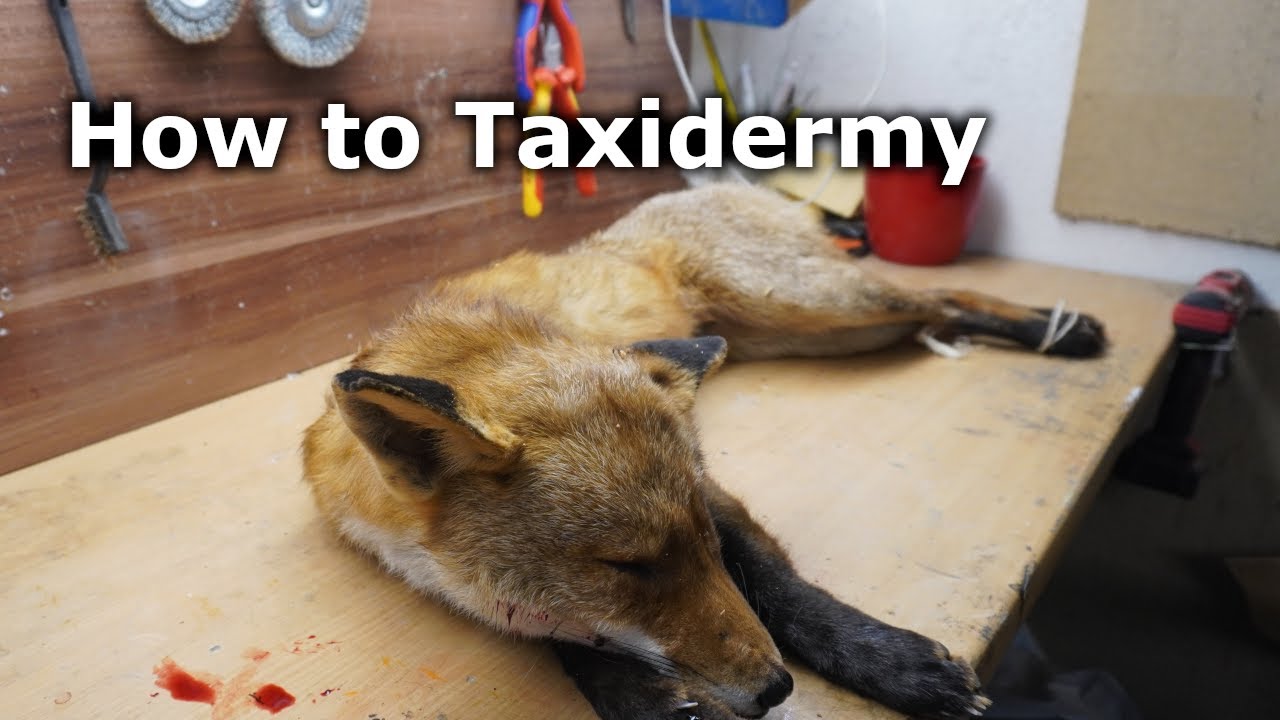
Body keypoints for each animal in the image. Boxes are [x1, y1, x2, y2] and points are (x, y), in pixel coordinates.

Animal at [301, 182, 1105, 720]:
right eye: (629, 567)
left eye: (705, 542)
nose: (778, 688)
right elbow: (562, 632)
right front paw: (642, 698)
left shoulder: (715, 495)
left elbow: (783, 592)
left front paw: (890, 664)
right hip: (804, 331)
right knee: (939, 314)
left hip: (819, 306)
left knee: (948, 298)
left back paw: (1059, 330)